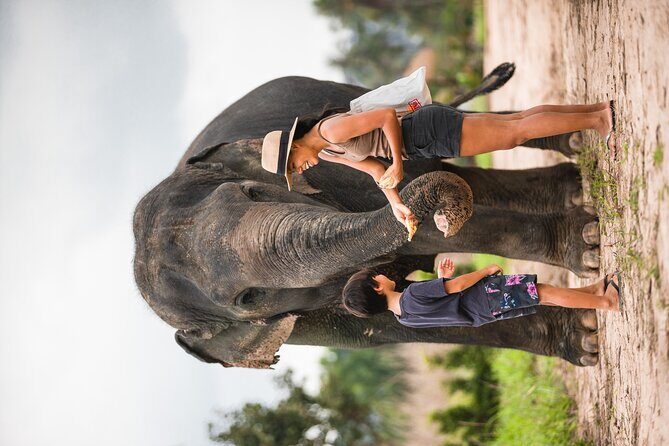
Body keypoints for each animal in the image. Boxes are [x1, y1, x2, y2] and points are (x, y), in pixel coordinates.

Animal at [133, 63, 601, 370]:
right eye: (249, 299)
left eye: (252, 191)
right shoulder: (304, 328)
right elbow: (395, 325)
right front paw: (587, 337)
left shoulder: (333, 179)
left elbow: (427, 231)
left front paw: (588, 250)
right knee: (462, 172)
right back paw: (574, 185)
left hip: (338, 91)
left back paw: (580, 144)